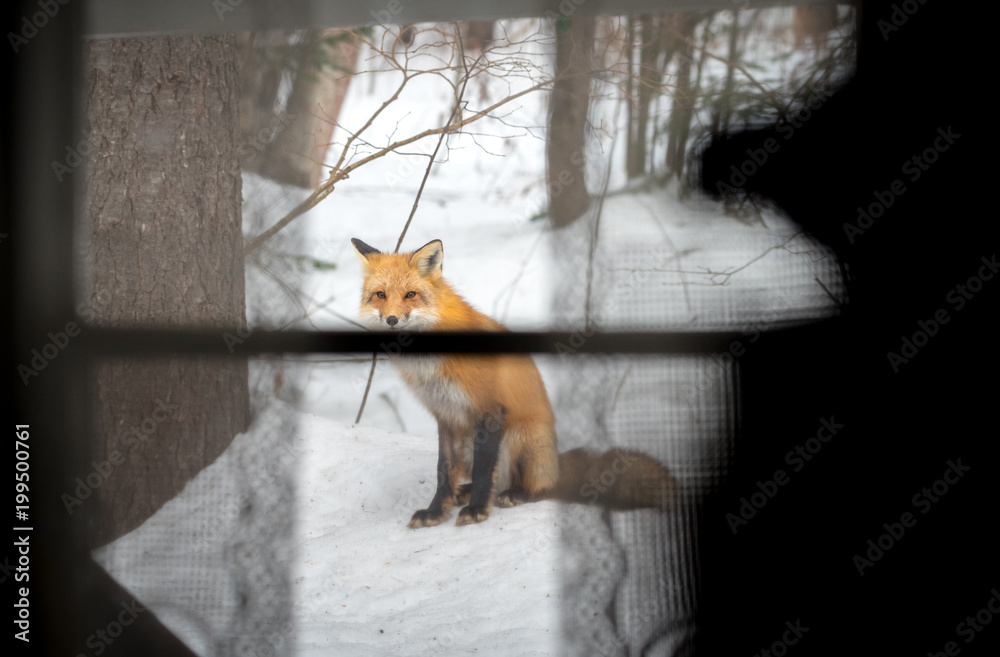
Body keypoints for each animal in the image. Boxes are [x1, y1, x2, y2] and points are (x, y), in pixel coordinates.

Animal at [352, 237, 676, 527]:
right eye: (380, 295)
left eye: (411, 295)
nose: (392, 320)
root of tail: (556, 464)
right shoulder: (445, 415)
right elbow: (443, 471)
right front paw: (435, 512)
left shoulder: (489, 409)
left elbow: (484, 471)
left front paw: (477, 511)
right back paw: (465, 493)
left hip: (522, 438)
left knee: (537, 488)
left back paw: (513, 494)